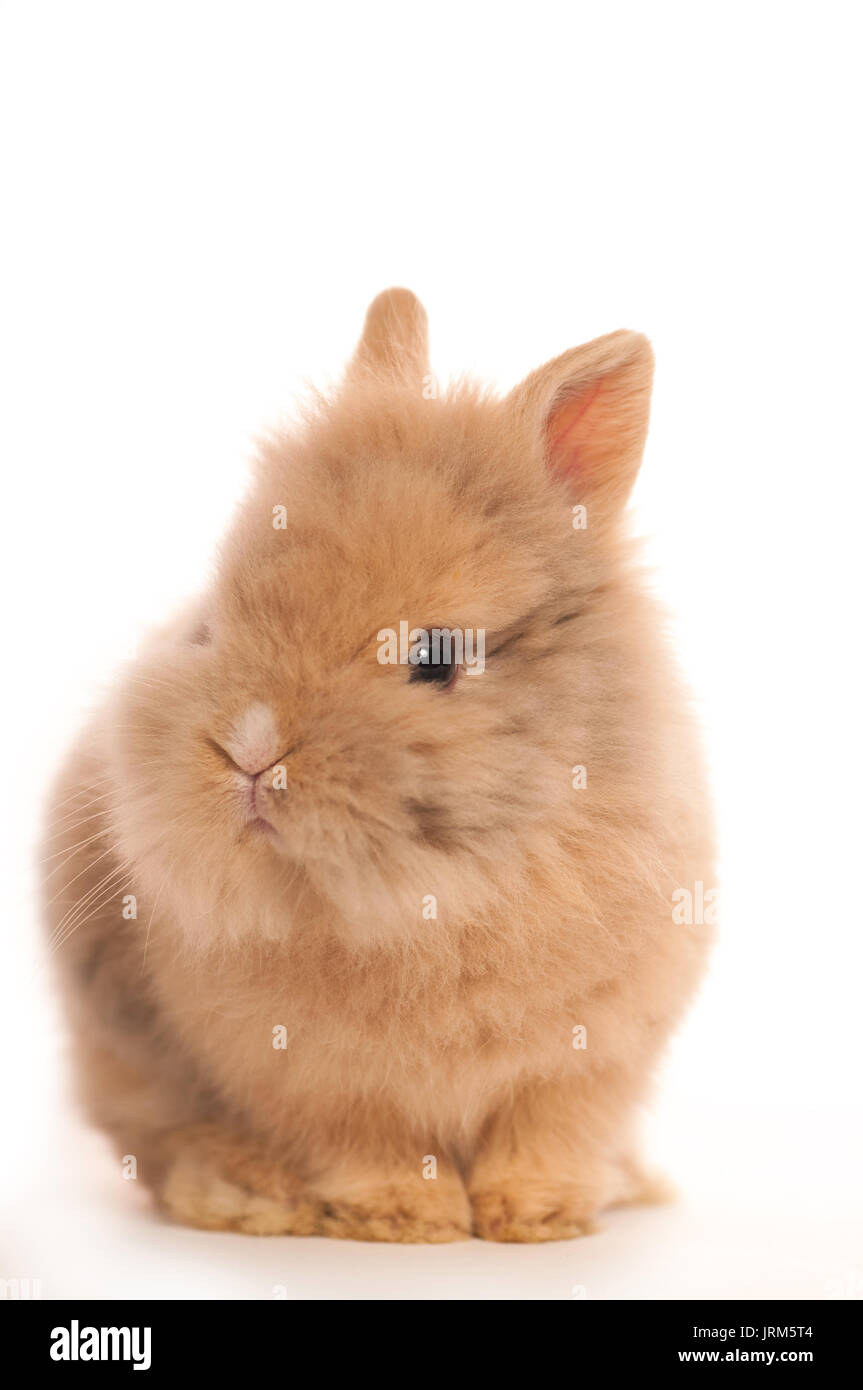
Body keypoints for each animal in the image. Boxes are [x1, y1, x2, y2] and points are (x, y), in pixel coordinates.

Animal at [42, 288, 715, 1243]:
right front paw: (407, 1219)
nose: (251, 752)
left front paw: (535, 1217)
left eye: (433, 657)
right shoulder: (309, 1078)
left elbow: (544, 1133)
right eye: (214, 621)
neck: (433, 897)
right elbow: (368, 1142)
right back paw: (252, 1196)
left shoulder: (587, 1063)